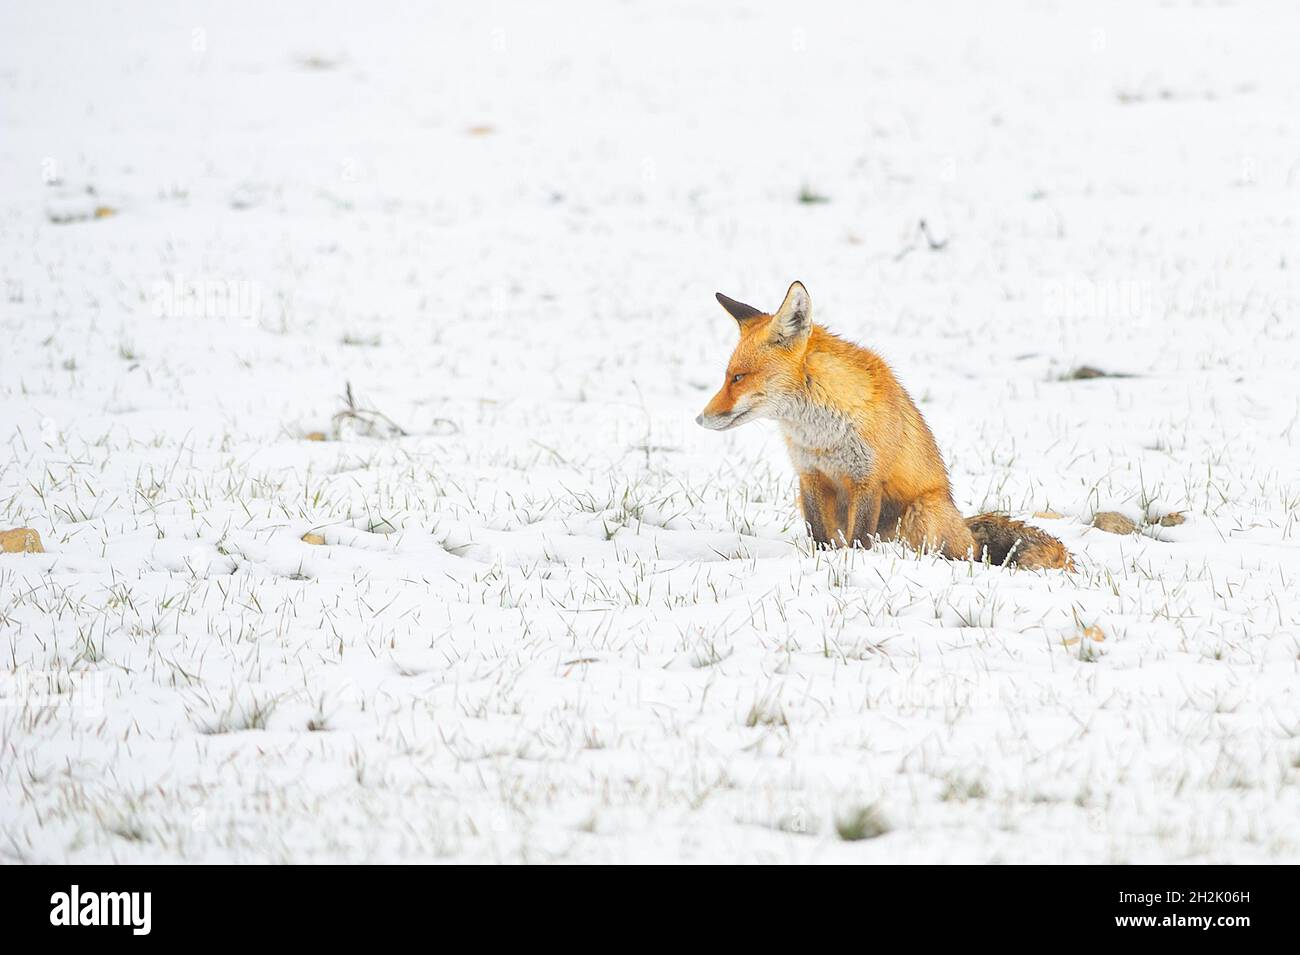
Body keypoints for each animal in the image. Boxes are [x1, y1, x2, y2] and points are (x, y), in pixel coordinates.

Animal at [696, 281, 1073, 571]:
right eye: (728, 377)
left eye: (738, 377)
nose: (699, 418)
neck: (823, 435)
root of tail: (964, 526)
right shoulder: (810, 477)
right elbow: (821, 537)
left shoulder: (867, 479)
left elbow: (860, 538)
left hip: (921, 512)